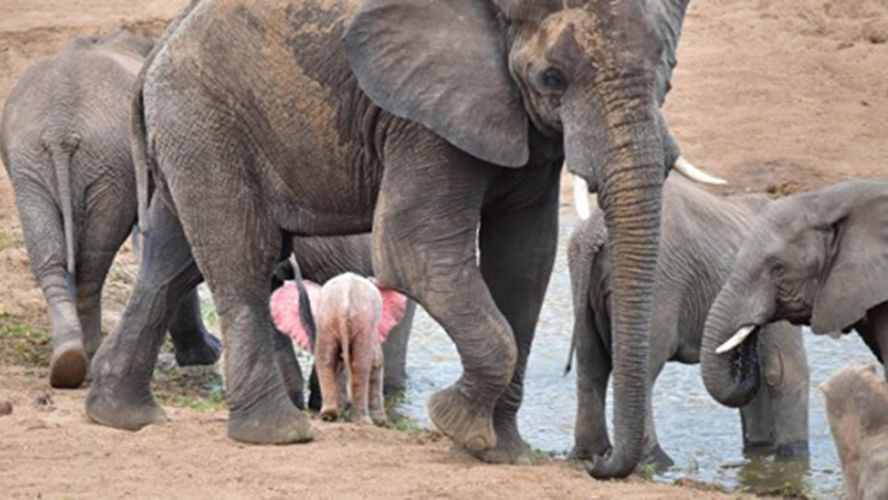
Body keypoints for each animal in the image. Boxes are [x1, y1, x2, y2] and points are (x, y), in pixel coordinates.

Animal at [0, 29, 220, 388]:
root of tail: (60, 130)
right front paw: (207, 355)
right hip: (96, 164)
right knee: (92, 261)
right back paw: (85, 359)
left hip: (40, 162)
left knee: (53, 253)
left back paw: (68, 361)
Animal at [271, 272, 408, 424]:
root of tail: (344, 303)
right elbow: (376, 363)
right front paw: (382, 421)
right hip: (361, 321)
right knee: (360, 364)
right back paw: (362, 420)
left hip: (328, 320)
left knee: (326, 360)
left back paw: (329, 415)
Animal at [567, 175, 810, 469]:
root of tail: (594, 230)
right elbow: (783, 371)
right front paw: (794, 461)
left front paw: (759, 453)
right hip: (659, 284)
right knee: (643, 369)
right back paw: (658, 462)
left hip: (582, 277)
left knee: (591, 363)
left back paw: (588, 455)